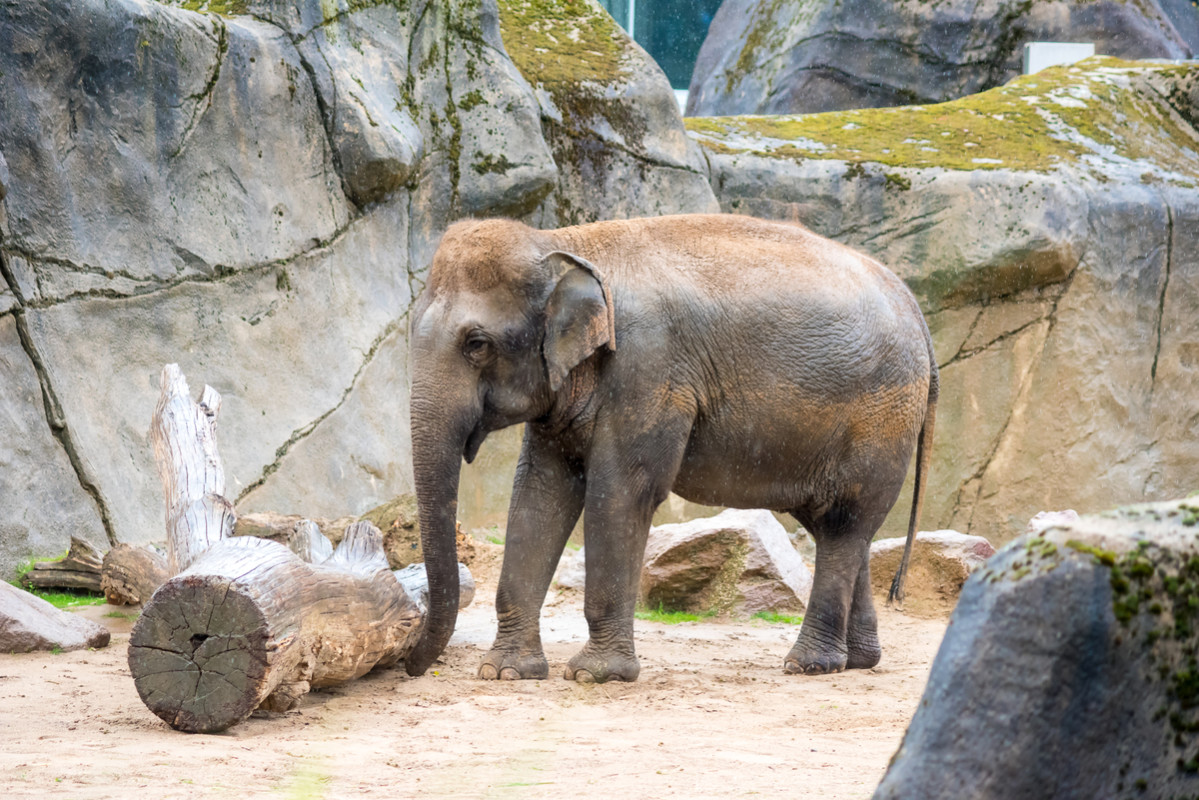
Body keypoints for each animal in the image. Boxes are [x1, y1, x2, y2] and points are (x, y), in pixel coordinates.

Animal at [404, 213, 937, 683]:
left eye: (476, 343)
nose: (413, 666)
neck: (562, 240)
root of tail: (916, 310)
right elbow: (539, 493)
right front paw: (505, 672)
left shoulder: (648, 369)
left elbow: (621, 492)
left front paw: (595, 676)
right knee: (837, 527)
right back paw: (858, 661)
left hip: (880, 418)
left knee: (845, 523)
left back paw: (808, 665)